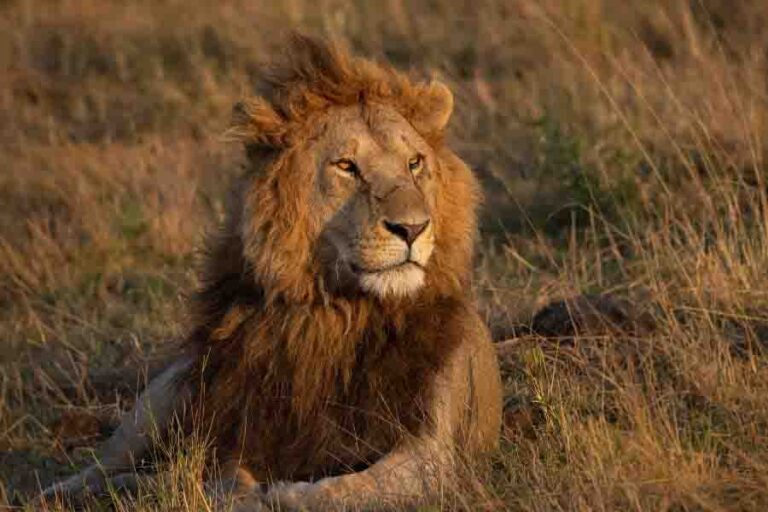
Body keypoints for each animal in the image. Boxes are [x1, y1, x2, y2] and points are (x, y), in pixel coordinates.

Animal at [42, 35, 502, 510]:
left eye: (414, 163)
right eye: (346, 166)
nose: (412, 228)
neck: (340, 314)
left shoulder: (432, 452)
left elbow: (350, 489)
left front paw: (284, 494)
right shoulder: (243, 426)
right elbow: (229, 476)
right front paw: (233, 491)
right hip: (167, 396)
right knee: (104, 464)